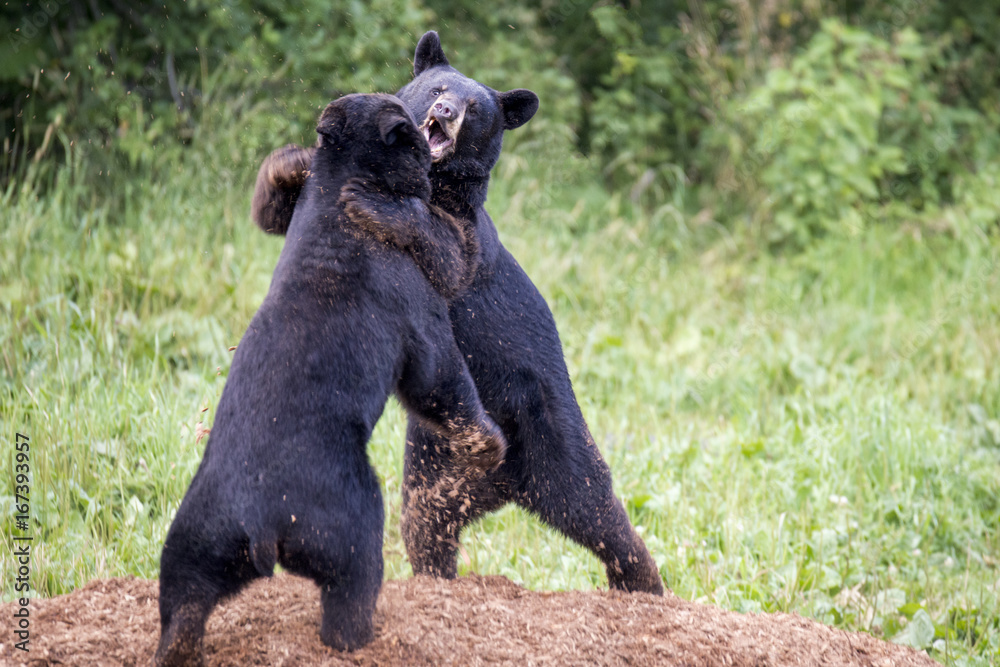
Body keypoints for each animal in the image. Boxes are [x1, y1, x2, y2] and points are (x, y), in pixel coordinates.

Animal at [154, 93, 507, 667]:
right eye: (411, 131)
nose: (435, 113)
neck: (340, 182)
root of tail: (261, 520)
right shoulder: (415, 307)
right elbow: (438, 376)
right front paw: (489, 446)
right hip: (348, 519)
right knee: (352, 585)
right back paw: (365, 640)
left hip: (201, 533)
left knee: (185, 594)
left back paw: (177, 649)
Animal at [249, 31, 664, 596]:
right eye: (438, 88)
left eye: (476, 107)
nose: (446, 112)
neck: (436, 182)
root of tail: (505, 482)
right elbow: (272, 213)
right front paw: (292, 163)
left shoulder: (468, 241)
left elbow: (445, 256)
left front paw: (375, 204)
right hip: (434, 458)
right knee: (427, 519)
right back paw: (437, 584)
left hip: (553, 434)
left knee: (592, 506)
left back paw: (641, 584)